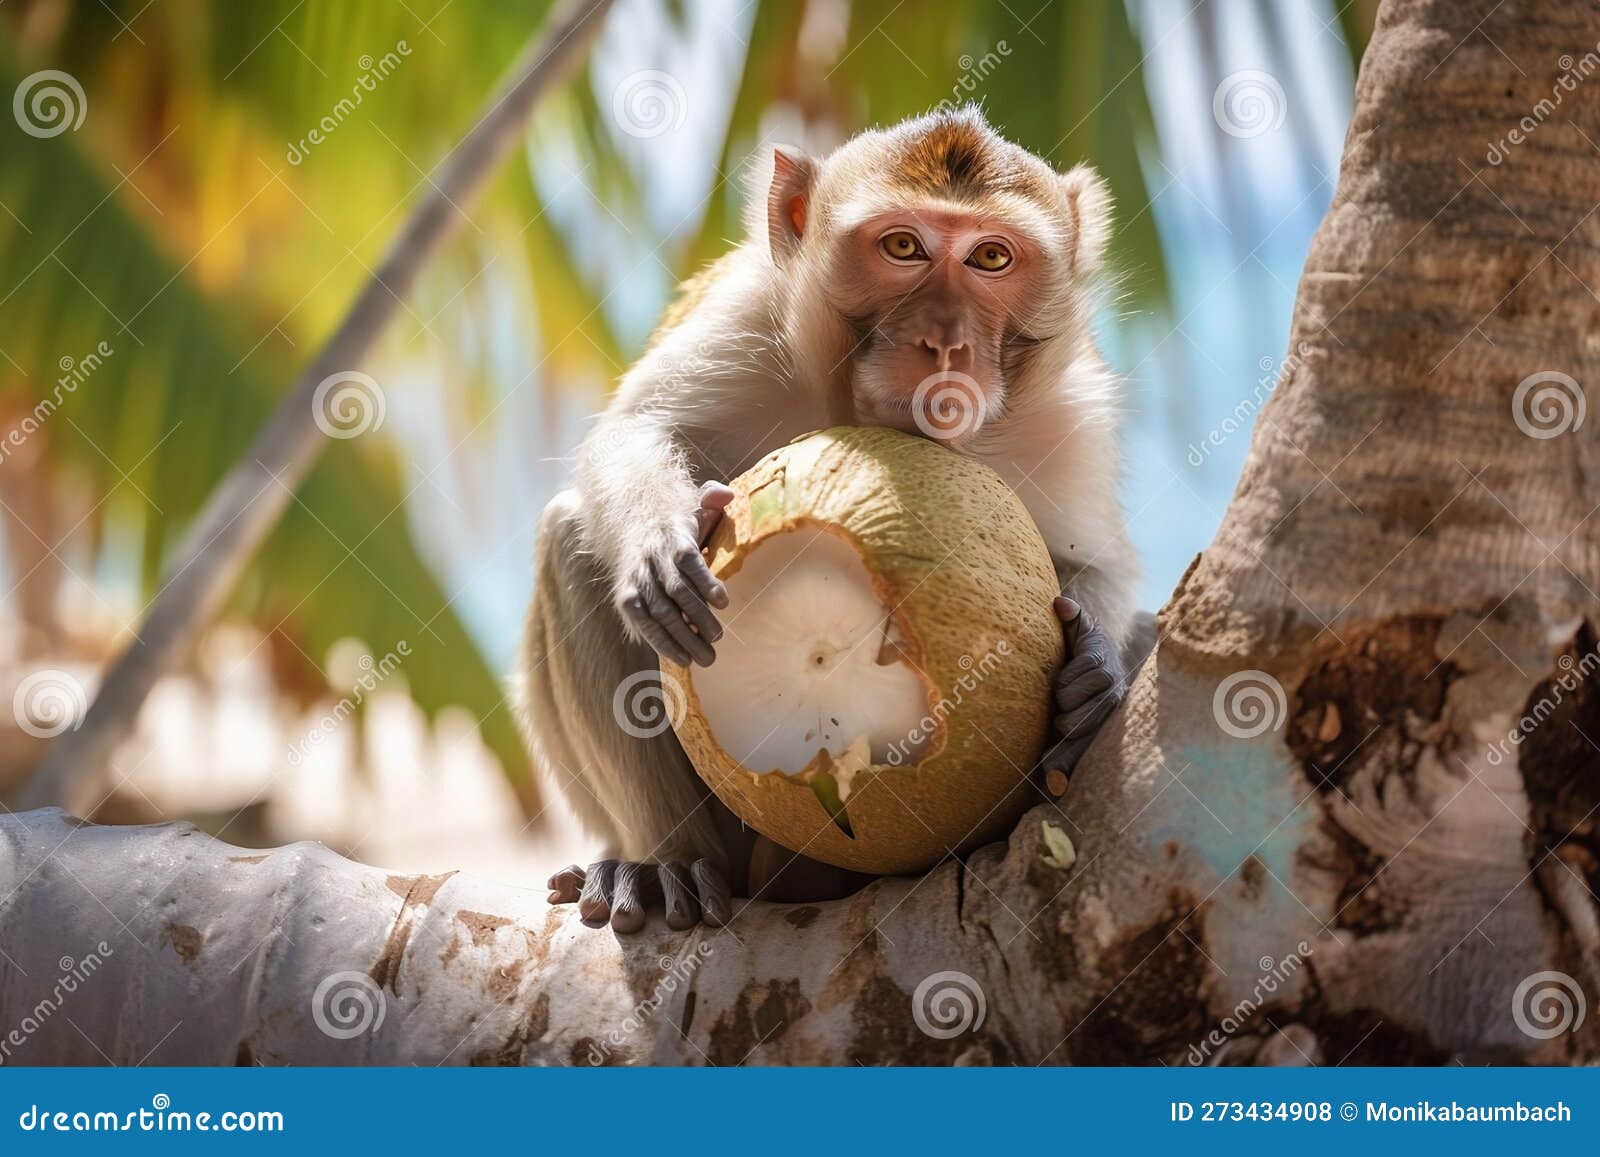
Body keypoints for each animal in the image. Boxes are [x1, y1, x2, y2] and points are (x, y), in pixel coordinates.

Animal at [515, 107, 1143, 934]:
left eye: (992, 257)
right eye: (903, 247)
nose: (945, 343)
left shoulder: (1070, 411)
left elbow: (1098, 563)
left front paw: (1093, 670)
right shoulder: (748, 313)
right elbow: (633, 431)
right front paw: (659, 546)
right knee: (573, 542)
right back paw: (662, 863)